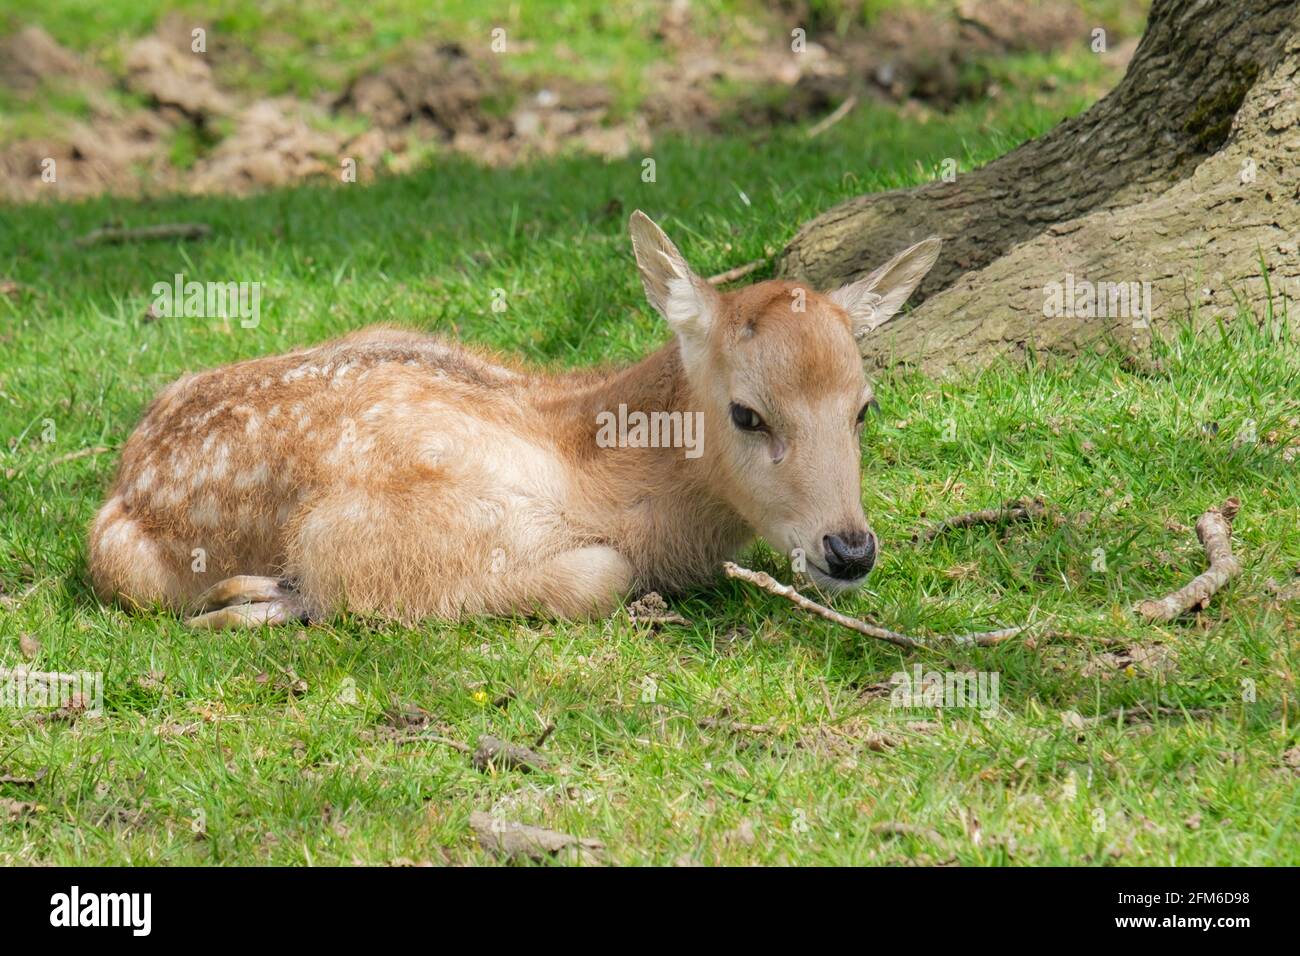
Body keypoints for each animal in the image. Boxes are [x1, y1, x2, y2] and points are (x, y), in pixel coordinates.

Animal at [88, 212, 940, 629]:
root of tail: (127, 467)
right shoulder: (357, 525)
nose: (849, 548)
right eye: (747, 412)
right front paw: (266, 596)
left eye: (865, 406)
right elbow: (601, 575)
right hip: (124, 566)